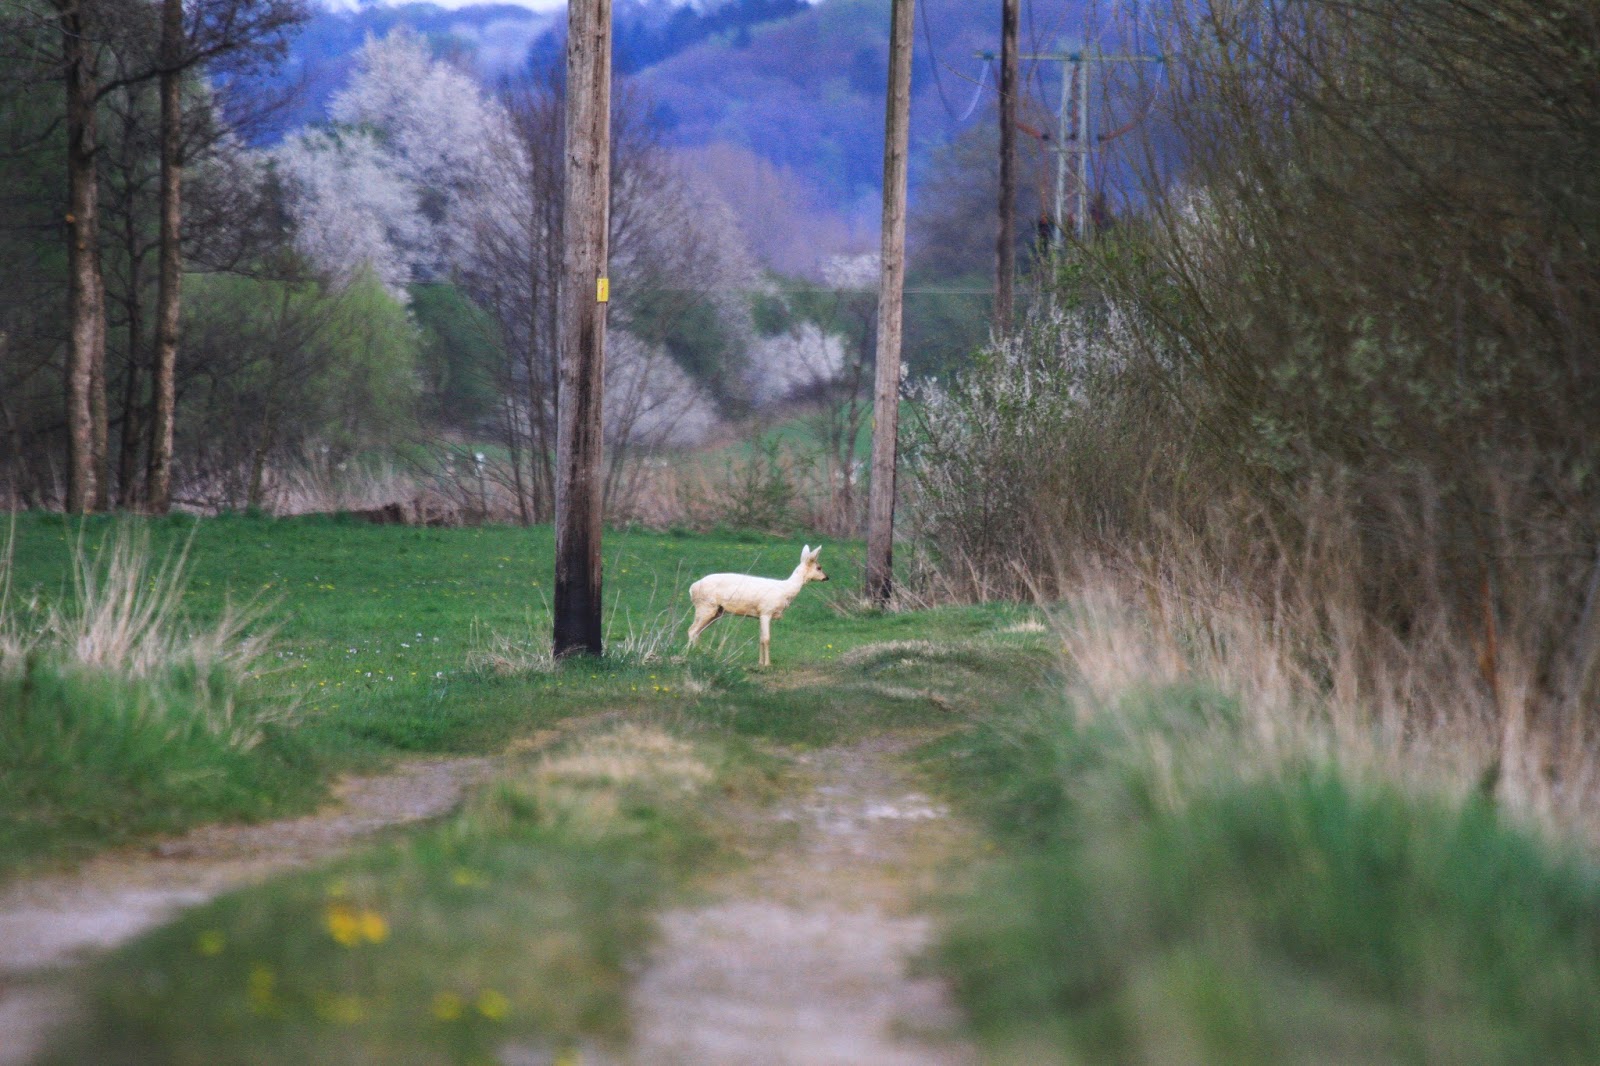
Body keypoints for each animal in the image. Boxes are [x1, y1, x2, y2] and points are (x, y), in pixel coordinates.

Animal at [686, 545, 829, 666]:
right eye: (819, 567)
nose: (826, 577)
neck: (785, 590)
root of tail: (692, 588)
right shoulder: (766, 611)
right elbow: (766, 639)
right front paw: (767, 664)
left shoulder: (759, 614)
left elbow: (760, 639)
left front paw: (760, 663)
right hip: (705, 606)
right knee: (692, 630)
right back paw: (688, 654)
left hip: (717, 611)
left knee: (698, 632)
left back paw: (699, 653)